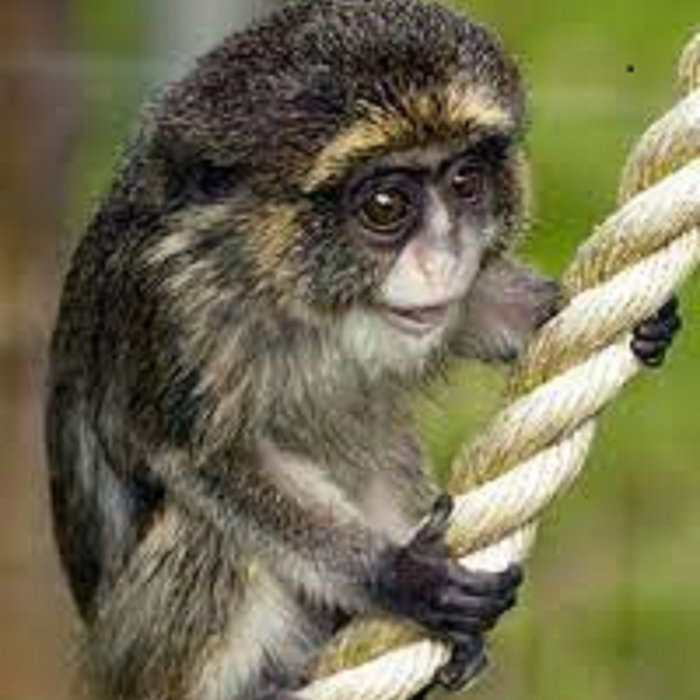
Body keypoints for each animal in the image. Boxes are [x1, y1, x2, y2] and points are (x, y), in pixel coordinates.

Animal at [45, 1, 682, 699]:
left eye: (465, 182)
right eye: (385, 205)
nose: (442, 259)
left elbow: (465, 309)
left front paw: (595, 316)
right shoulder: (169, 299)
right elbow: (194, 455)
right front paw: (395, 576)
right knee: (206, 532)